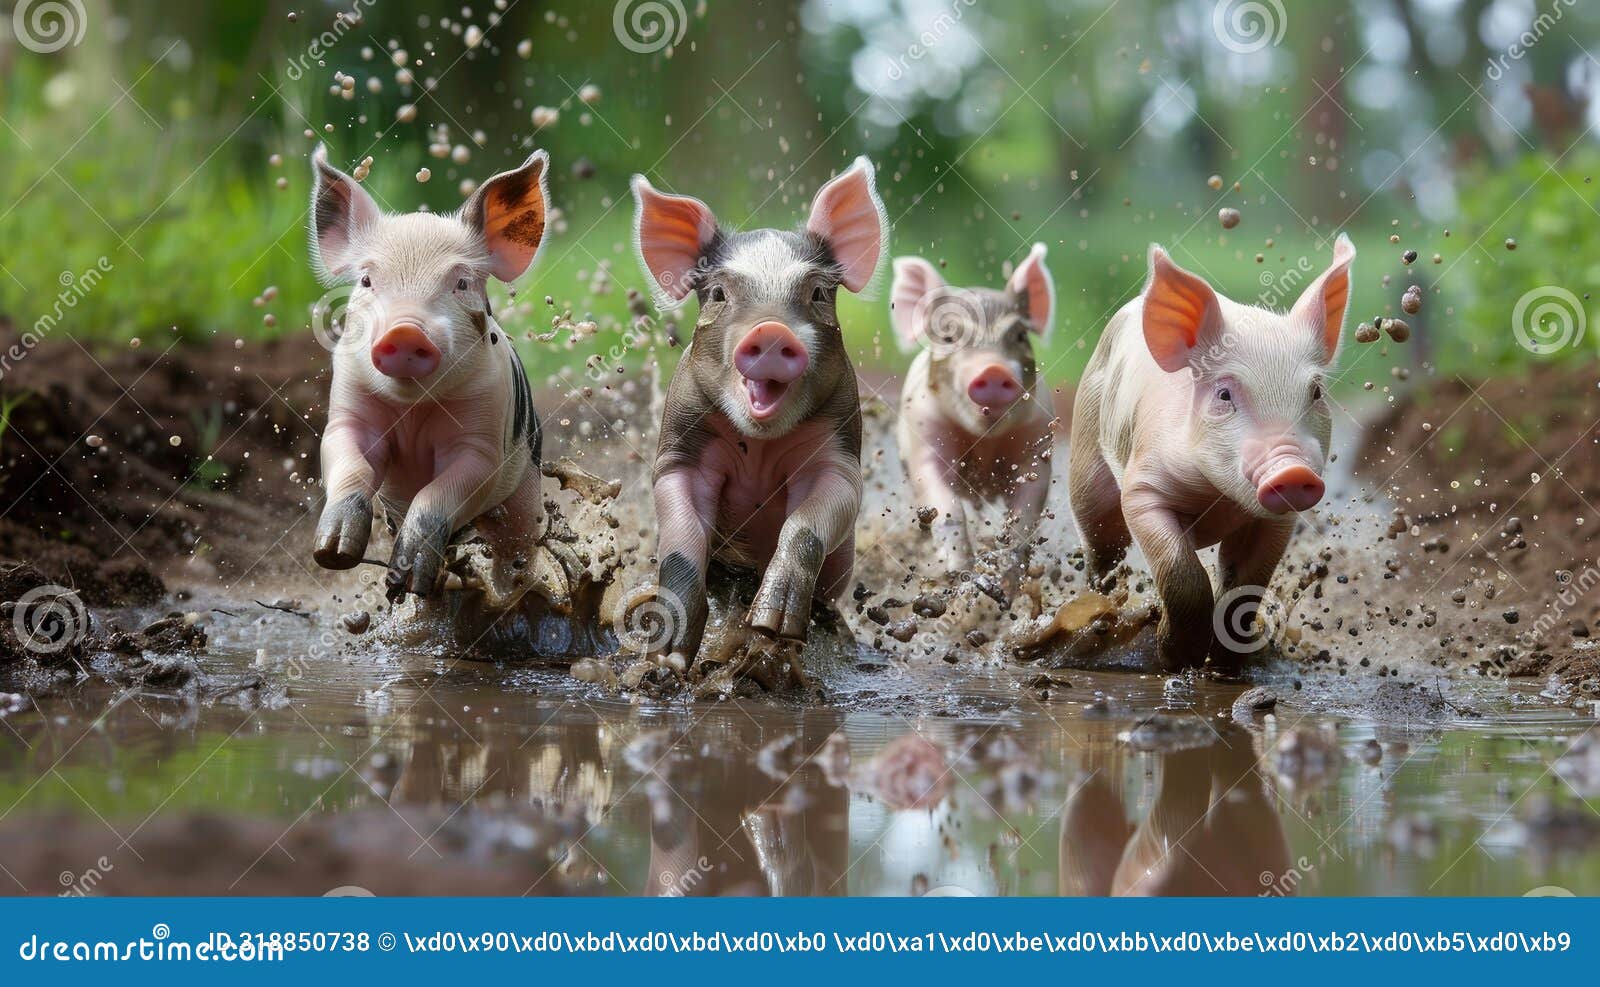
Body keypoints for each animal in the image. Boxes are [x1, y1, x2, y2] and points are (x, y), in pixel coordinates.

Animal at [307, 144, 552, 606]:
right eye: (366, 280)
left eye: (461, 283)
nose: (405, 331)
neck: (413, 411)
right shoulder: (349, 409)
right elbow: (348, 459)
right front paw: (333, 554)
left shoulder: (483, 438)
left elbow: (445, 487)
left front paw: (410, 578)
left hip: (526, 490)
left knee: (518, 545)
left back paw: (511, 595)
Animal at [631, 157, 888, 667]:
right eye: (716, 294)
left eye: (818, 293)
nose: (770, 330)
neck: (760, 449)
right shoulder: (679, 452)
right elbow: (681, 540)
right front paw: (668, 657)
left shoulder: (839, 456)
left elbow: (807, 526)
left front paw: (770, 629)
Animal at [890, 243, 1055, 578]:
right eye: (949, 337)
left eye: (1020, 336)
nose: (993, 369)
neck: (985, 444)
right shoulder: (923, 437)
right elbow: (944, 502)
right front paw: (957, 571)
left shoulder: (1038, 440)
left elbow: (1026, 507)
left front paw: (1007, 570)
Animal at [1069, 235, 1355, 671]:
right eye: (1223, 394)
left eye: (1316, 392)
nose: (1292, 471)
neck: (1215, 497)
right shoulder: (1143, 488)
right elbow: (1181, 572)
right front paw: (1175, 659)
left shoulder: (1276, 519)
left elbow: (1245, 584)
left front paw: (1224, 666)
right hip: (1086, 453)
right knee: (1101, 543)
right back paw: (1097, 603)